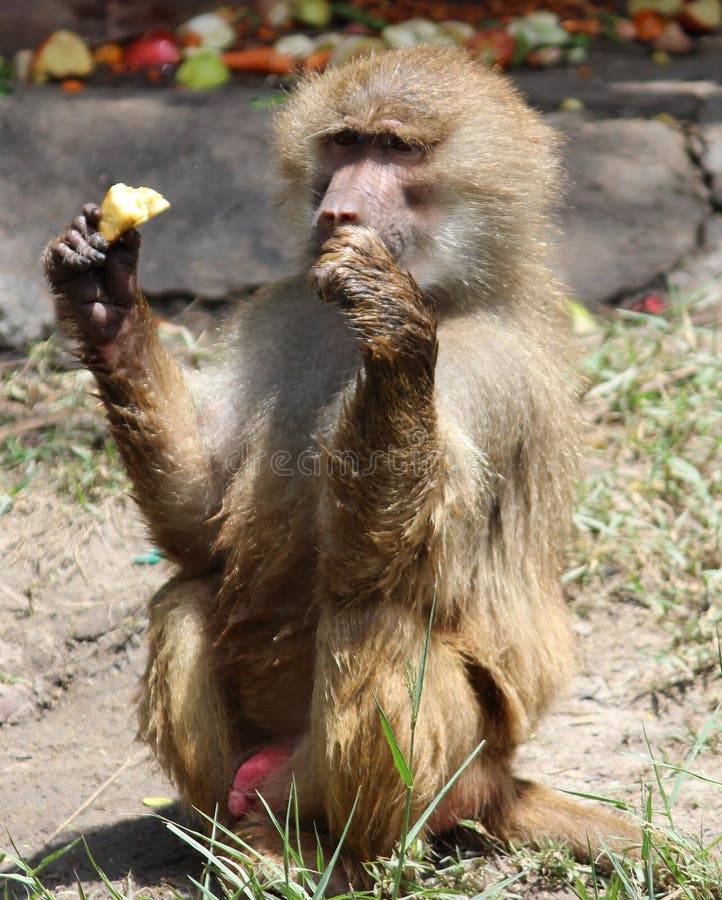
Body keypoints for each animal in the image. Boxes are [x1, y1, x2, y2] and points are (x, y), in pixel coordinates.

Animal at [43, 45, 639, 886]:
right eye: (345, 144)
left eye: (396, 148)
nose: (339, 211)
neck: (442, 290)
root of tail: (497, 783)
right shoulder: (285, 309)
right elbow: (204, 524)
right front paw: (104, 299)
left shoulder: (490, 372)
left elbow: (384, 565)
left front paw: (389, 328)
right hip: (266, 753)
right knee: (183, 599)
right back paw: (243, 842)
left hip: (447, 772)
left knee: (374, 621)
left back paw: (352, 858)